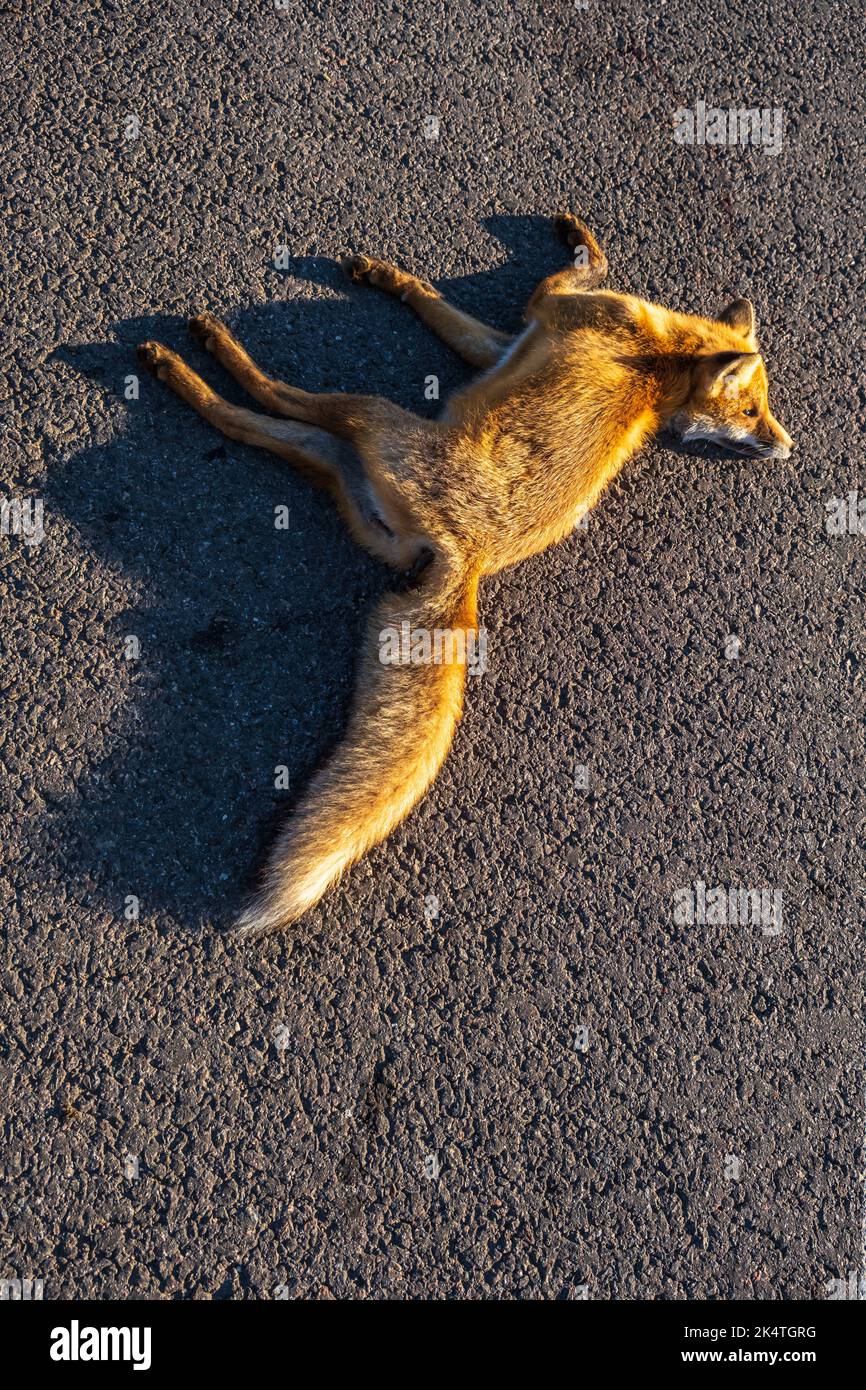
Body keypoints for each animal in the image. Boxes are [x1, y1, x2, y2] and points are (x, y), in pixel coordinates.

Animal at [136, 213, 794, 939]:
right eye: (755, 412)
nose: (787, 446)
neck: (662, 358)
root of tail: (471, 560)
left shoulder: (545, 309)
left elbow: (571, 269)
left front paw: (576, 240)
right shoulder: (505, 342)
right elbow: (437, 301)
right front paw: (387, 276)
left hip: (366, 415)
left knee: (270, 396)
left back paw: (190, 356)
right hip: (340, 465)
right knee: (251, 426)